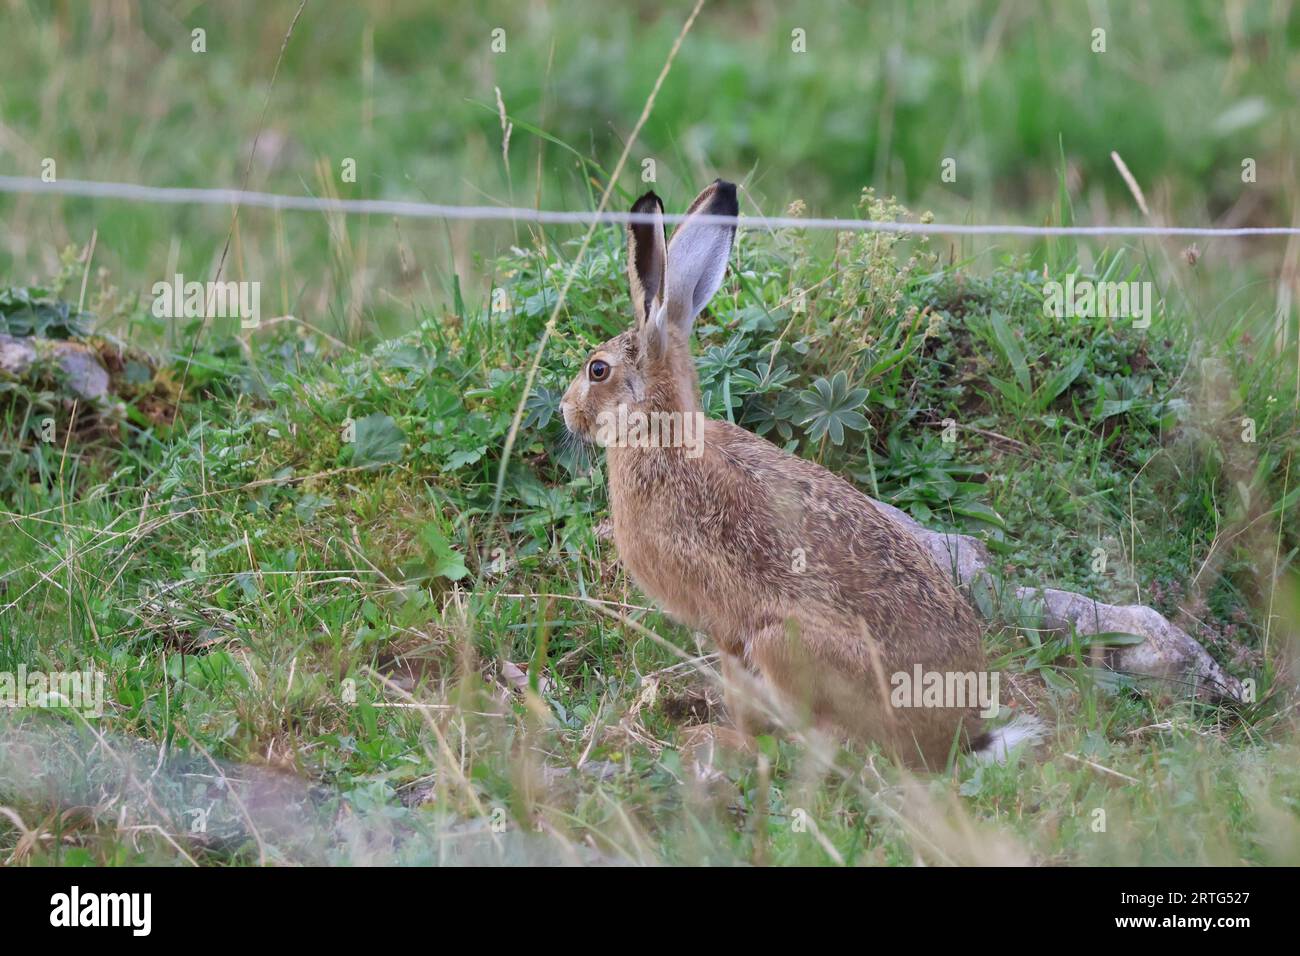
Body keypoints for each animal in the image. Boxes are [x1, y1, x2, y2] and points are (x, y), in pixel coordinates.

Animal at [560, 180, 1041, 768]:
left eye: (597, 370)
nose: (565, 410)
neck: (662, 433)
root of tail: (951, 739)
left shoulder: (726, 625)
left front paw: (729, 740)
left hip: (783, 643)